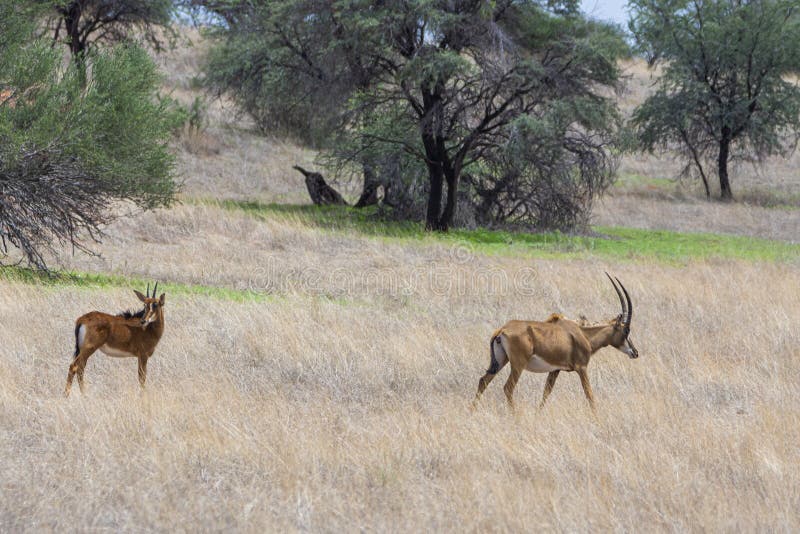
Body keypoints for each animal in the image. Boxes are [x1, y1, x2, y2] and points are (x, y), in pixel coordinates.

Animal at [474, 274, 638, 411]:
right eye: (626, 331)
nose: (635, 352)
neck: (583, 334)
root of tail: (501, 330)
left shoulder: (555, 370)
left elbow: (546, 393)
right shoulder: (582, 368)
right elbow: (589, 395)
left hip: (502, 361)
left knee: (483, 381)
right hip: (518, 365)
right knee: (508, 388)